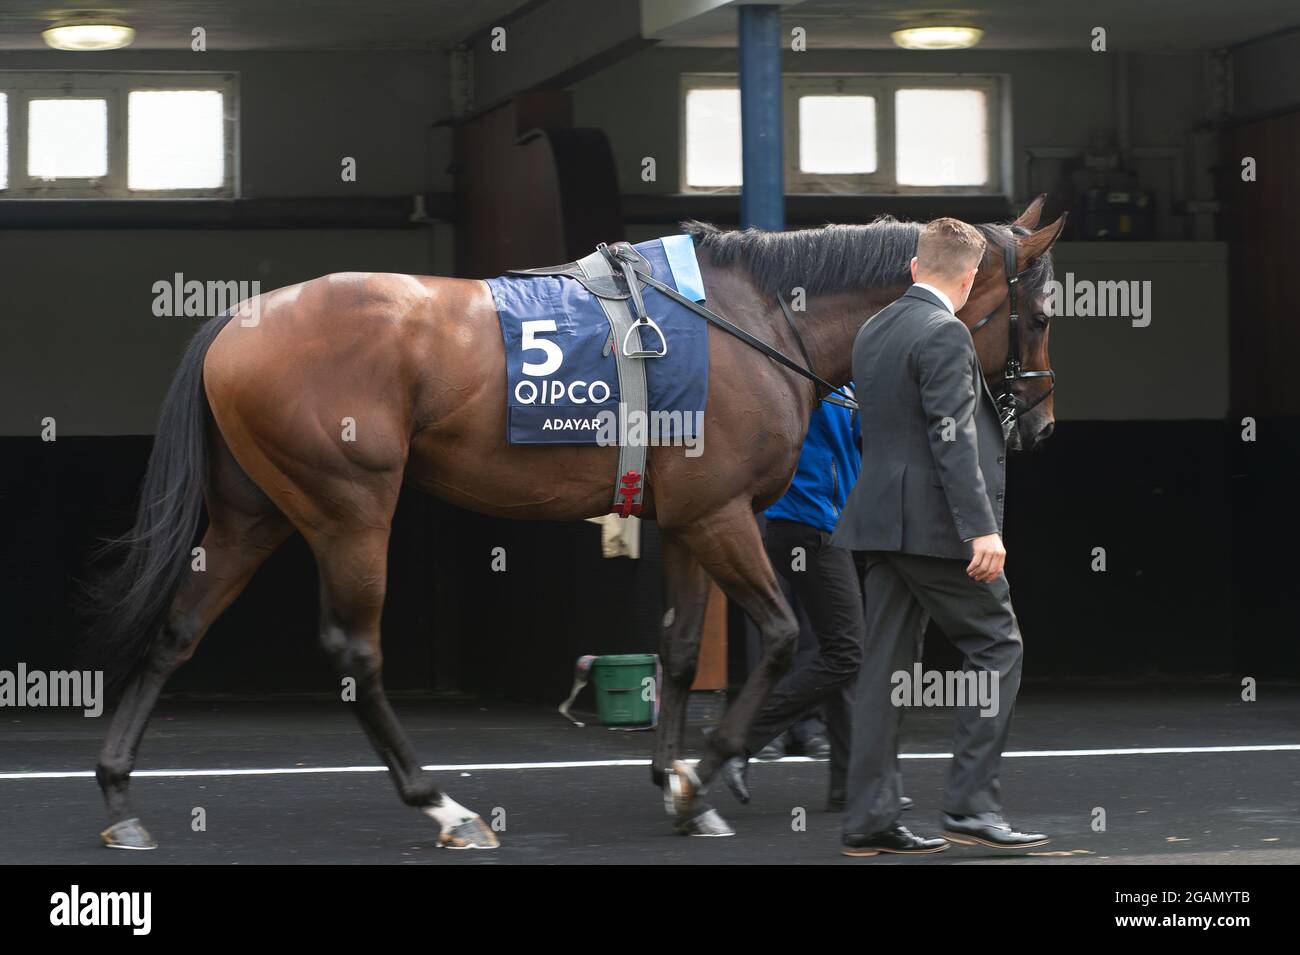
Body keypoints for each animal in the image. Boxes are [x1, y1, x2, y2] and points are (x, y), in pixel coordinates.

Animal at [87, 197, 1065, 849]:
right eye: (1043, 311)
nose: (1042, 423)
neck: (750, 319)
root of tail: (236, 321)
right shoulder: (722, 515)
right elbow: (784, 634)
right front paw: (701, 776)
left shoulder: (686, 519)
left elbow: (679, 648)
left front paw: (680, 780)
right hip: (349, 510)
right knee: (355, 653)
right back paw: (443, 805)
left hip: (250, 514)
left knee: (178, 629)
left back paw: (119, 797)